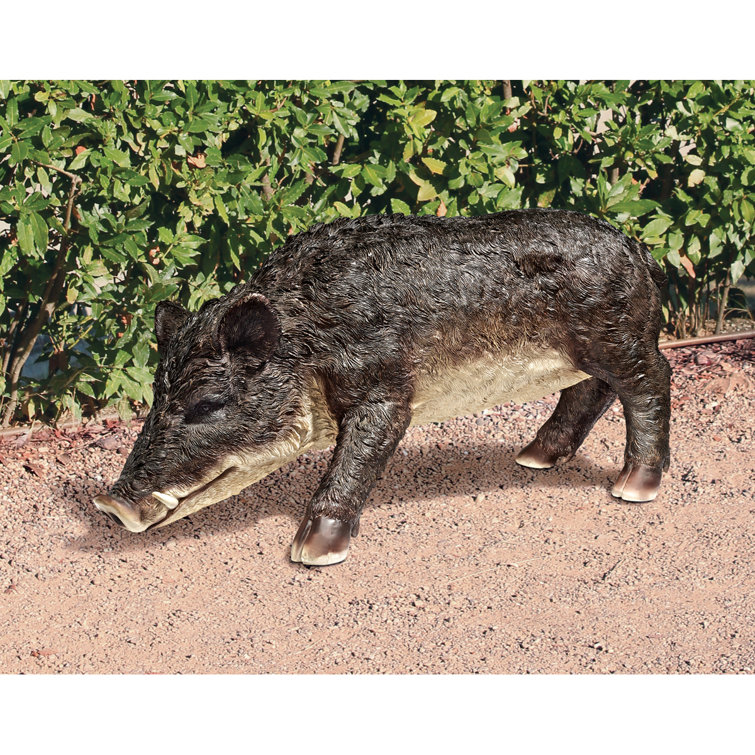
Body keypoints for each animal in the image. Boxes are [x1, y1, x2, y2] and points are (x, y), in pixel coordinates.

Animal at [94, 209, 671, 565]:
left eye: (207, 404)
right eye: (155, 400)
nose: (110, 503)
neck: (310, 337)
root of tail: (639, 251)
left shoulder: (386, 390)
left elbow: (358, 456)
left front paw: (311, 554)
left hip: (619, 337)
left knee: (653, 379)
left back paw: (632, 488)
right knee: (590, 392)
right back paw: (532, 459)